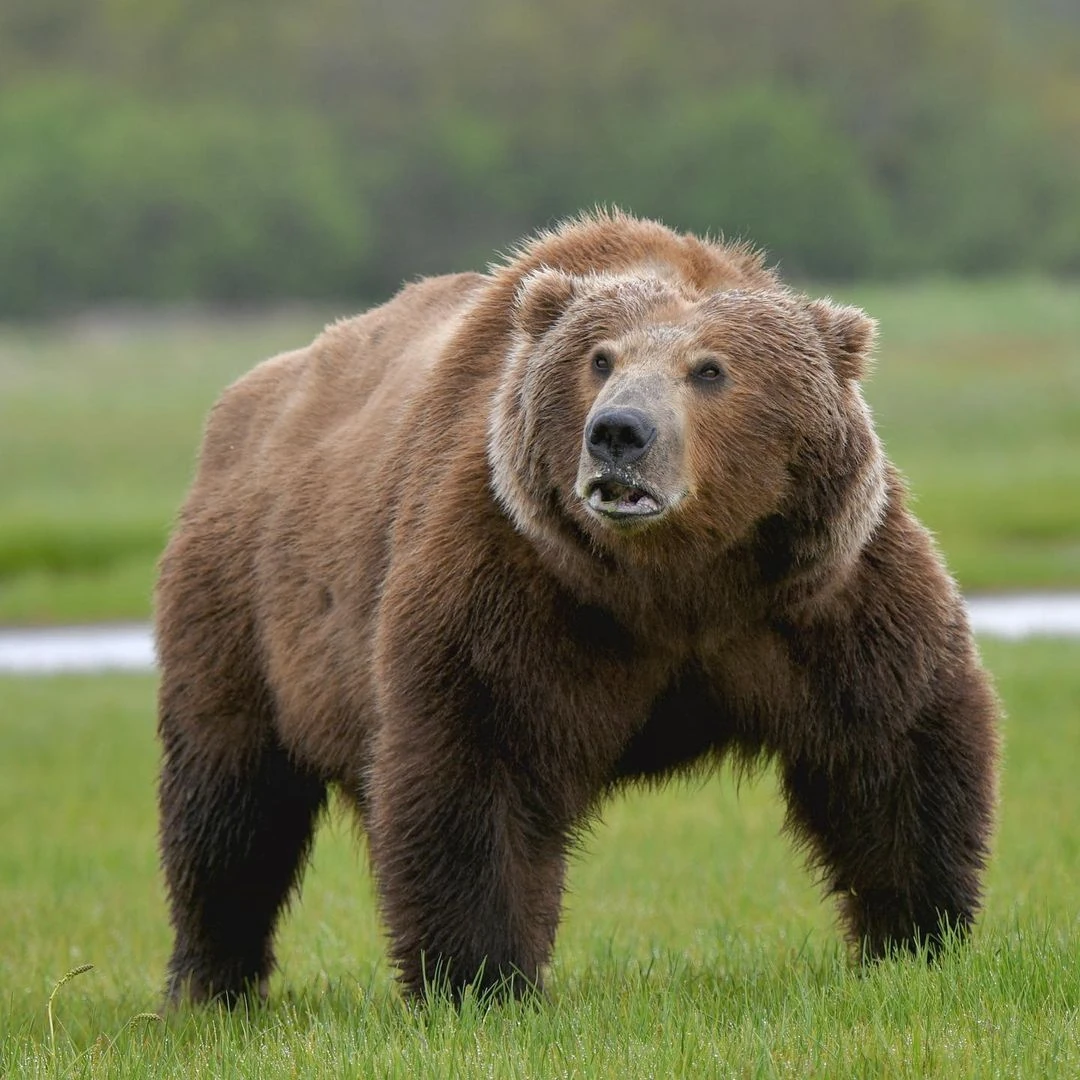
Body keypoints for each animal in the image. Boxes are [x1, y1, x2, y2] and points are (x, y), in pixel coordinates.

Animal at [155, 209, 1000, 1006]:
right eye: (601, 359)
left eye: (709, 369)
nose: (618, 432)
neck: (674, 582)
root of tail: (239, 406)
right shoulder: (518, 581)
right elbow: (477, 763)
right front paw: (481, 976)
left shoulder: (818, 590)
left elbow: (894, 744)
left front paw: (915, 934)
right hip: (243, 608)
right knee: (229, 804)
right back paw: (209, 982)